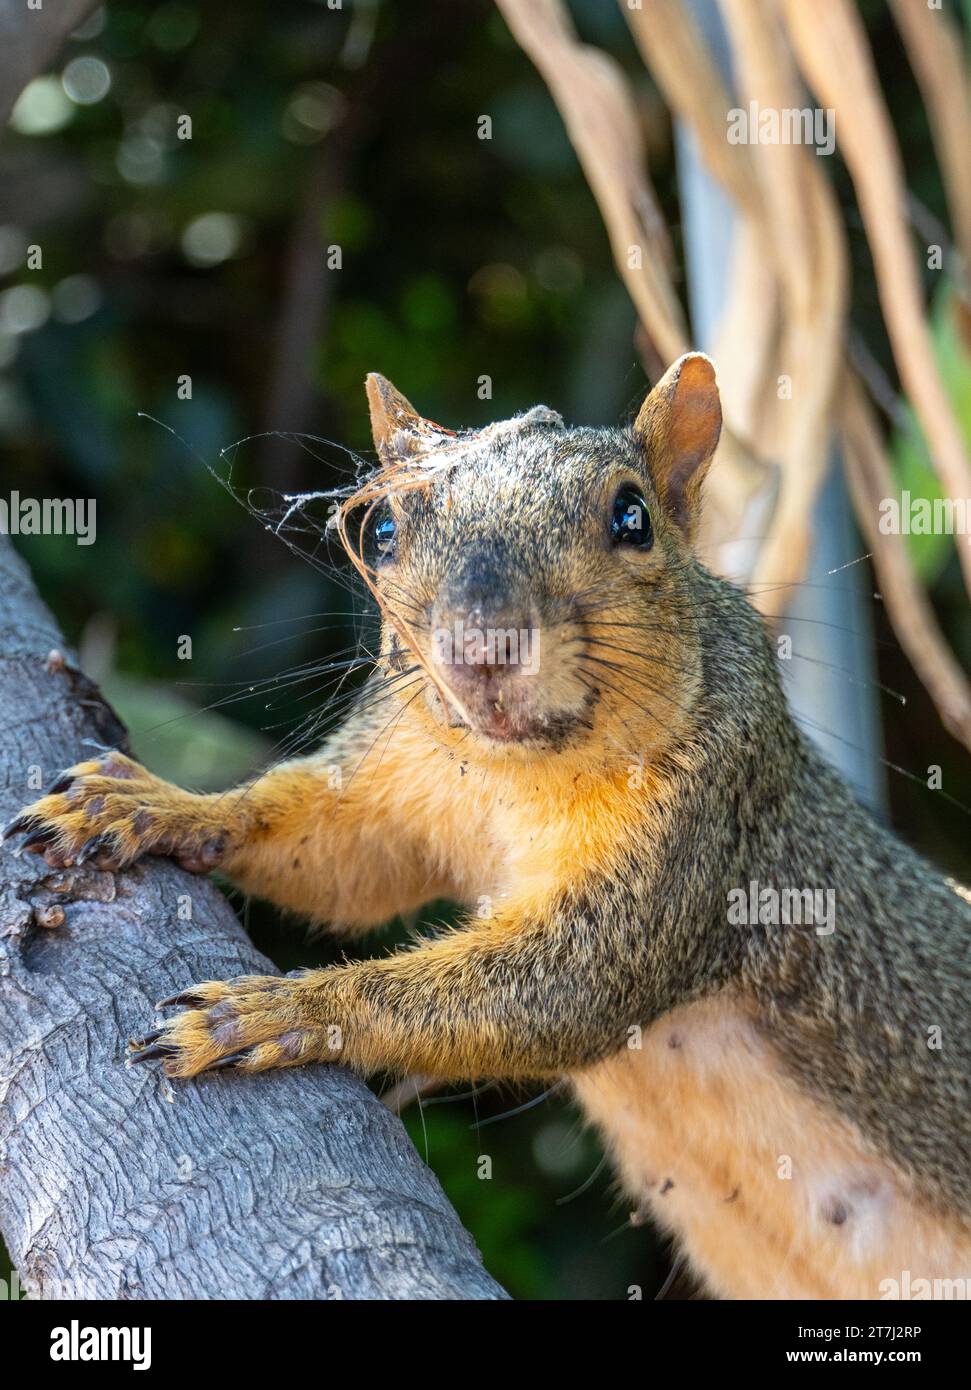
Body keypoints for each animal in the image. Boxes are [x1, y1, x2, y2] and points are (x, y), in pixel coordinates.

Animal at [7, 352, 971, 1300]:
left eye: (632, 517)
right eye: (383, 531)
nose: (482, 647)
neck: (516, 775)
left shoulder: (705, 828)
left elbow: (565, 986)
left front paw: (279, 1008)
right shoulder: (396, 789)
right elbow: (338, 864)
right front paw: (151, 804)